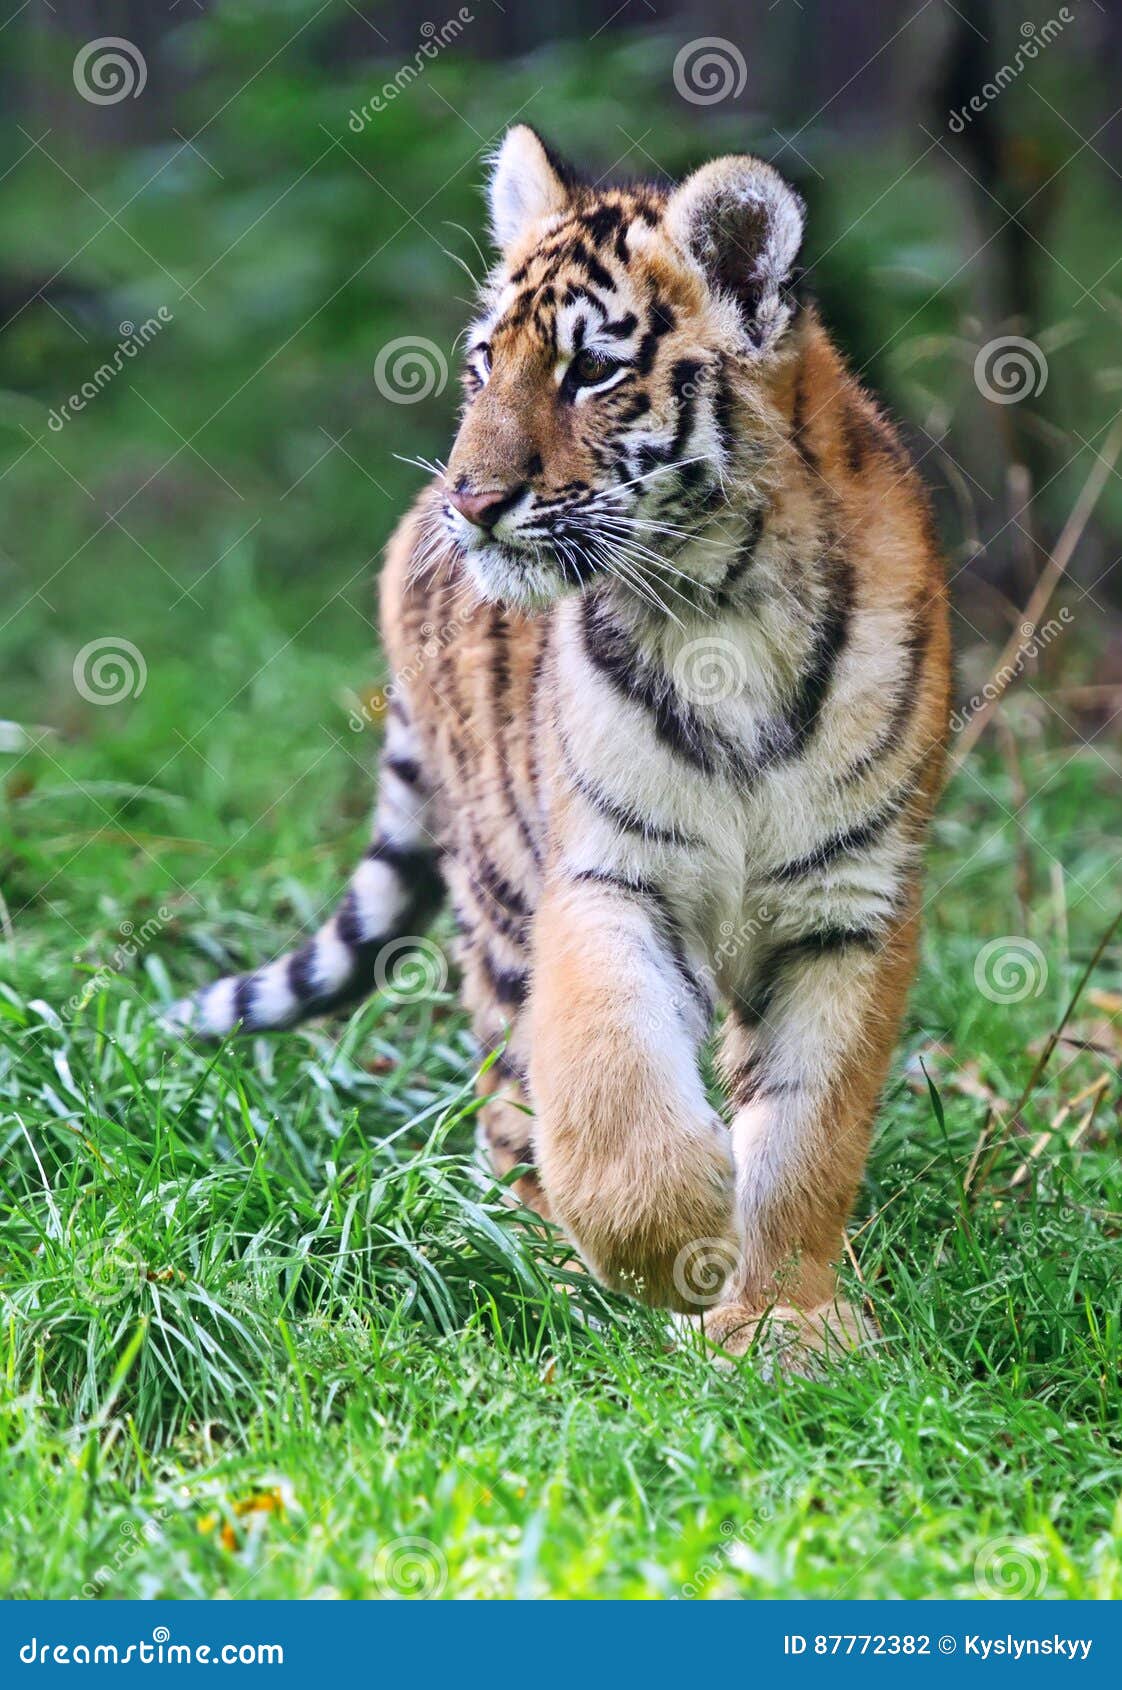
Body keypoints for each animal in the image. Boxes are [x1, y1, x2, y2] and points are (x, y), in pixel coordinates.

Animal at [167, 125, 951, 1365]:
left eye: (591, 372)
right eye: (484, 363)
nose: (471, 500)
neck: (726, 610)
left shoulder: (851, 905)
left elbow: (810, 1133)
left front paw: (789, 1320)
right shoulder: (610, 874)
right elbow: (611, 1086)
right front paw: (678, 1249)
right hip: (496, 893)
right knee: (511, 1094)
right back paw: (551, 1260)